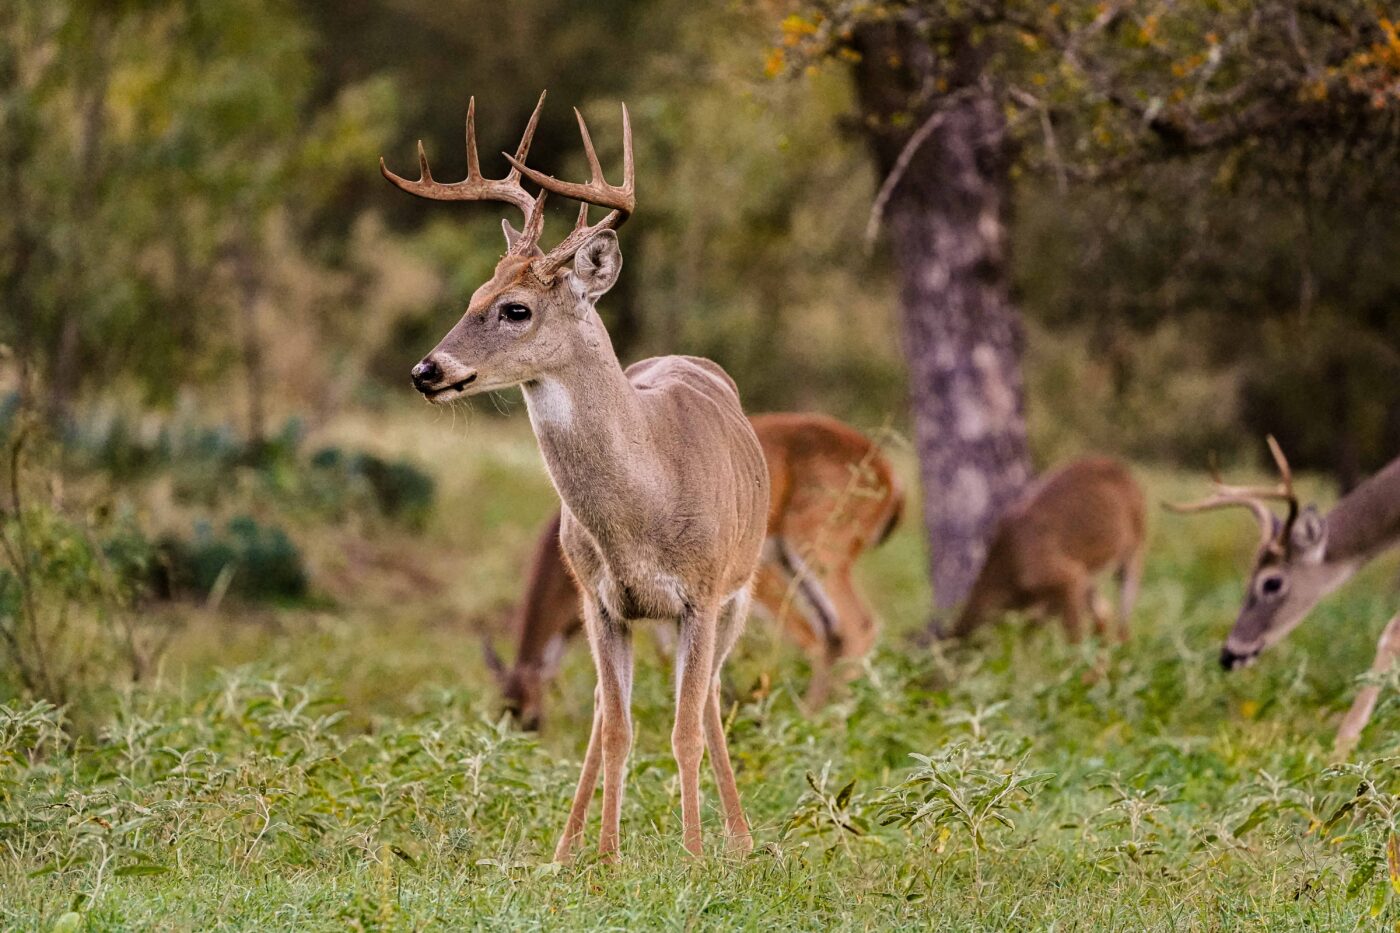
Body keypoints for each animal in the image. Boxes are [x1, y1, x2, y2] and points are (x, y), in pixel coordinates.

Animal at [383, 92, 770, 860]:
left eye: (516, 308)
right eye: (473, 295)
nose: (425, 370)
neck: (647, 502)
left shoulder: (703, 593)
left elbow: (684, 725)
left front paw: (693, 855)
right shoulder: (601, 600)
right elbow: (617, 727)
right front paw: (606, 857)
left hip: (742, 587)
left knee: (710, 696)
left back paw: (738, 838)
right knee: (600, 706)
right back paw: (566, 849)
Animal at [484, 412, 905, 729]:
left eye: (532, 722)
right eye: (506, 714)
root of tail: (884, 471)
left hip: (812, 557)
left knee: (851, 627)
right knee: (833, 633)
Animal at [939, 457, 1147, 643]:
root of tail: (1127, 472)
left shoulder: (1065, 576)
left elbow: (1074, 640)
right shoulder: (1058, 591)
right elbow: (1027, 637)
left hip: (1134, 550)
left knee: (1123, 621)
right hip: (1090, 573)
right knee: (1105, 613)